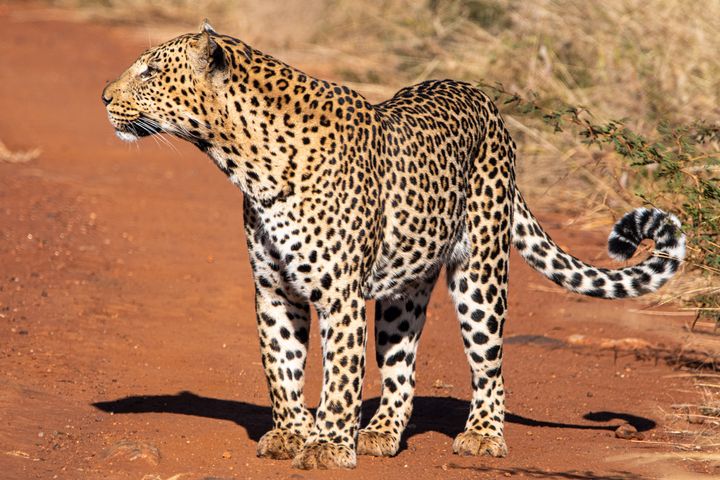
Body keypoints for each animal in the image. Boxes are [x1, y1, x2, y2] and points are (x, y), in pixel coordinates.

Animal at [101, 22, 686, 469]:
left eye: (149, 71)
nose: (104, 97)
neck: (244, 159)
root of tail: (484, 100)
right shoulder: (274, 290)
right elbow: (281, 366)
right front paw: (292, 433)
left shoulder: (339, 294)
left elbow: (339, 375)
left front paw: (327, 446)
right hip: (402, 293)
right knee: (403, 367)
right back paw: (380, 433)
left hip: (479, 275)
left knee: (490, 366)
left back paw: (482, 436)